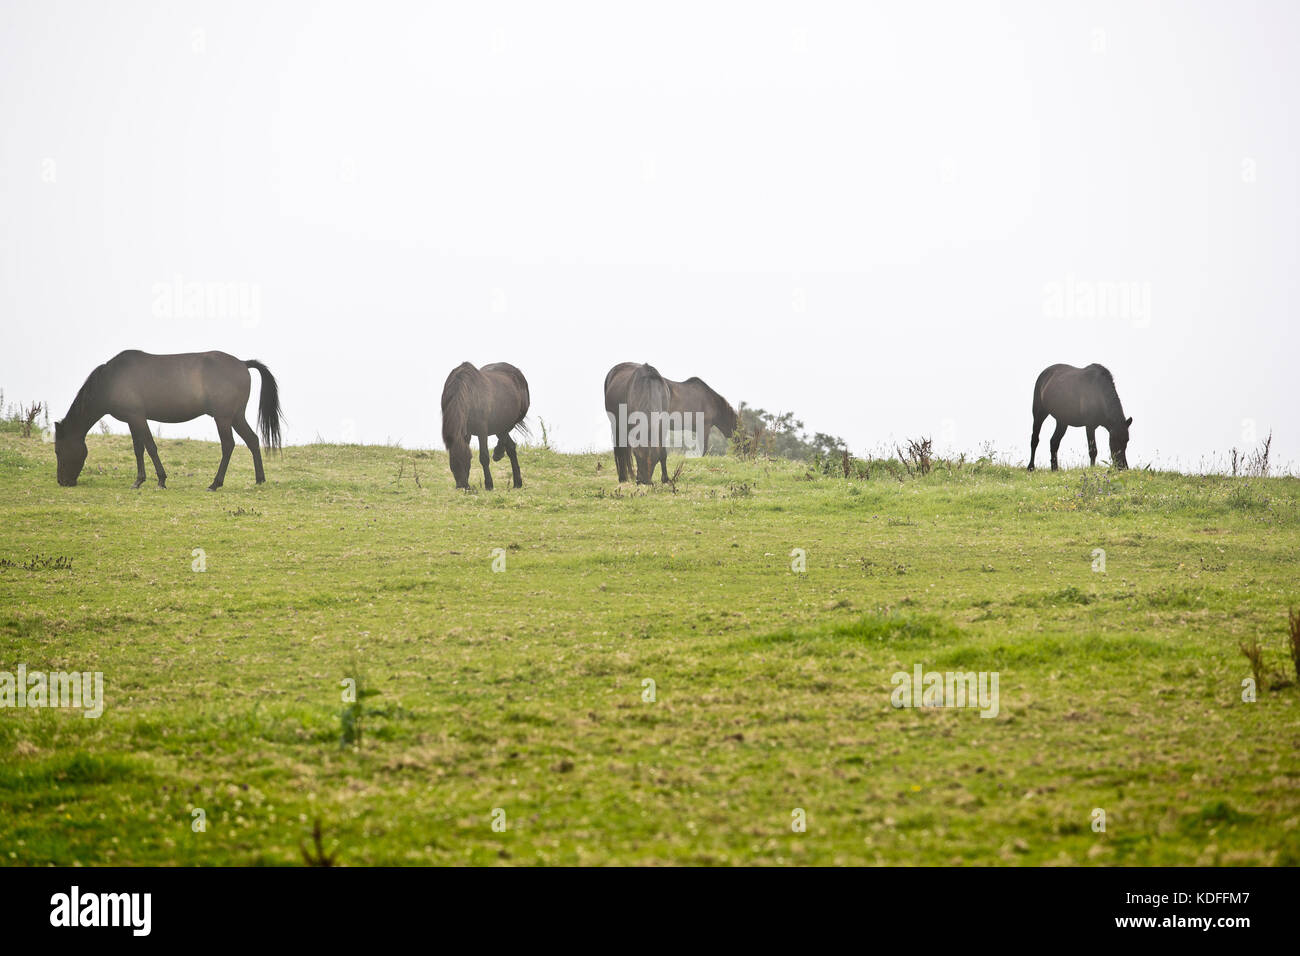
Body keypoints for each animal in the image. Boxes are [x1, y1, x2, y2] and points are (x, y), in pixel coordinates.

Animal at [54, 350, 282, 490]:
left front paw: (161, 480)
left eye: (58, 450)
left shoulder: (137, 417)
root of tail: (242, 364)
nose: (62, 481)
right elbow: (138, 449)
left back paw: (215, 484)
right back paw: (259, 479)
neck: (111, 381)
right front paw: (138, 481)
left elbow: (150, 447)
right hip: (236, 416)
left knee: (228, 445)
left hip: (223, 418)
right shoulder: (132, 420)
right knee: (252, 440)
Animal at [603, 362, 738, 482]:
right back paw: (623, 477)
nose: (643, 481)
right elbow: (703, 449)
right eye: (637, 456)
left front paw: (665, 479)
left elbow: (664, 452)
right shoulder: (704, 426)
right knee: (620, 452)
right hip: (616, 424)